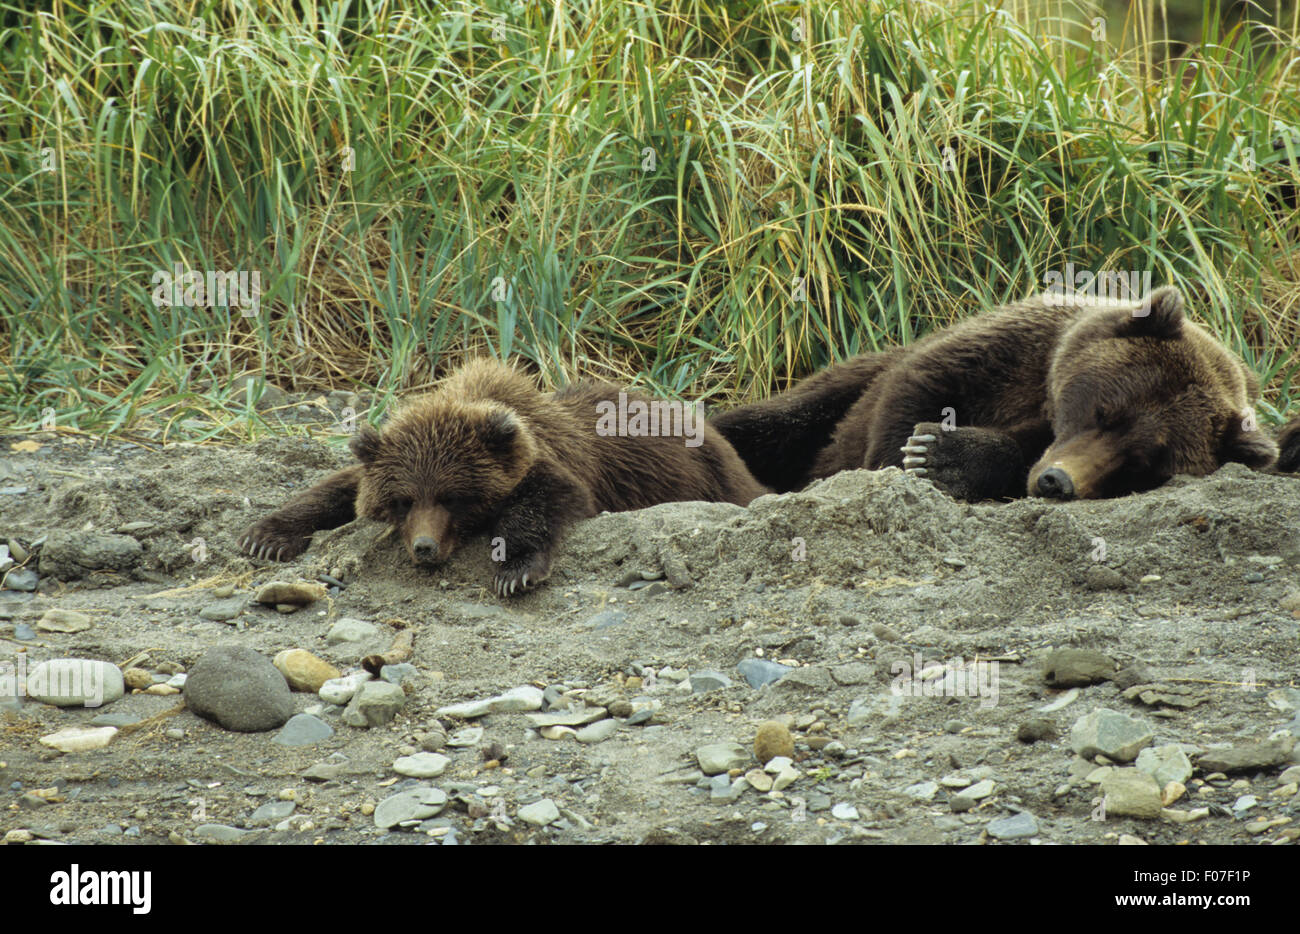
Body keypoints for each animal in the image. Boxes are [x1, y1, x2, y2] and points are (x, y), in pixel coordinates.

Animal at [239, 359, 768, 596]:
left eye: (452, 497)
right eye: (403, 500)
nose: (424, 547)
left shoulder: (553, 459)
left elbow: (545, 499)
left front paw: (515, 570)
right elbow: (338, 486)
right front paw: (265, 536)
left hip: (710, 475)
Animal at [710, 286, 1278, 501]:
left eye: (1143, 462)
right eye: (1103, 411)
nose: (1057, 481)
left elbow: (1008, 452)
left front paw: (941, 454)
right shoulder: (1006, 354)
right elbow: (916, 392)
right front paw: (910, 455)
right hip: (843, 387)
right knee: (775, 421)